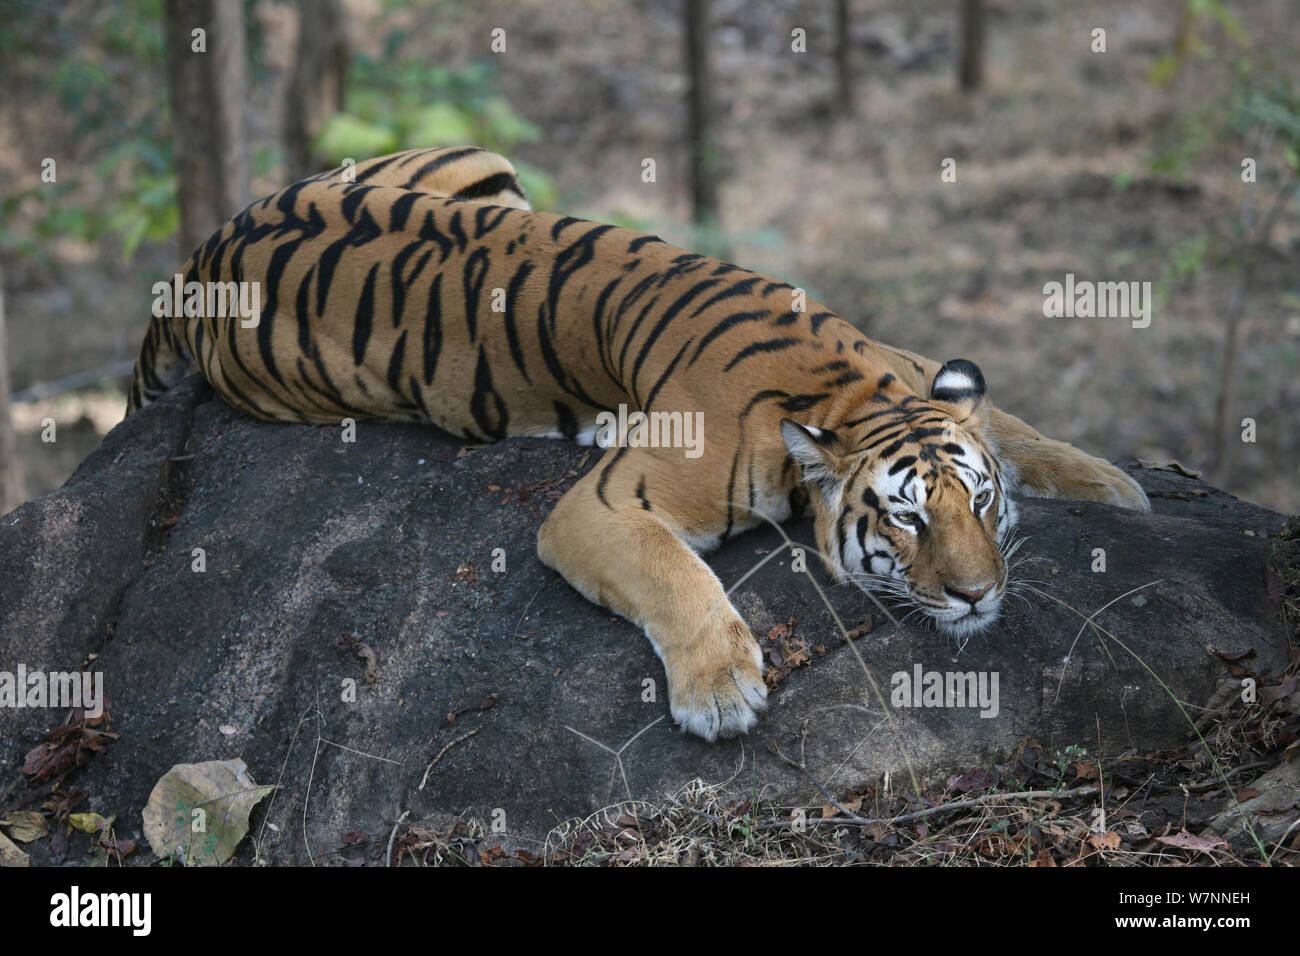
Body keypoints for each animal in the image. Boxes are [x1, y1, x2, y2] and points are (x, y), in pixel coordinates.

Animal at [127, 146, 1151, 741]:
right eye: (903, 521)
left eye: (977, 501)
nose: (979, 596)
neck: (849, 389)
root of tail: (203, 249)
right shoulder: (612, 500)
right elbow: (676, 576)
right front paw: (720, 693)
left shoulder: (919, 365)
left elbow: (1017, 427)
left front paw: (1114, 485)